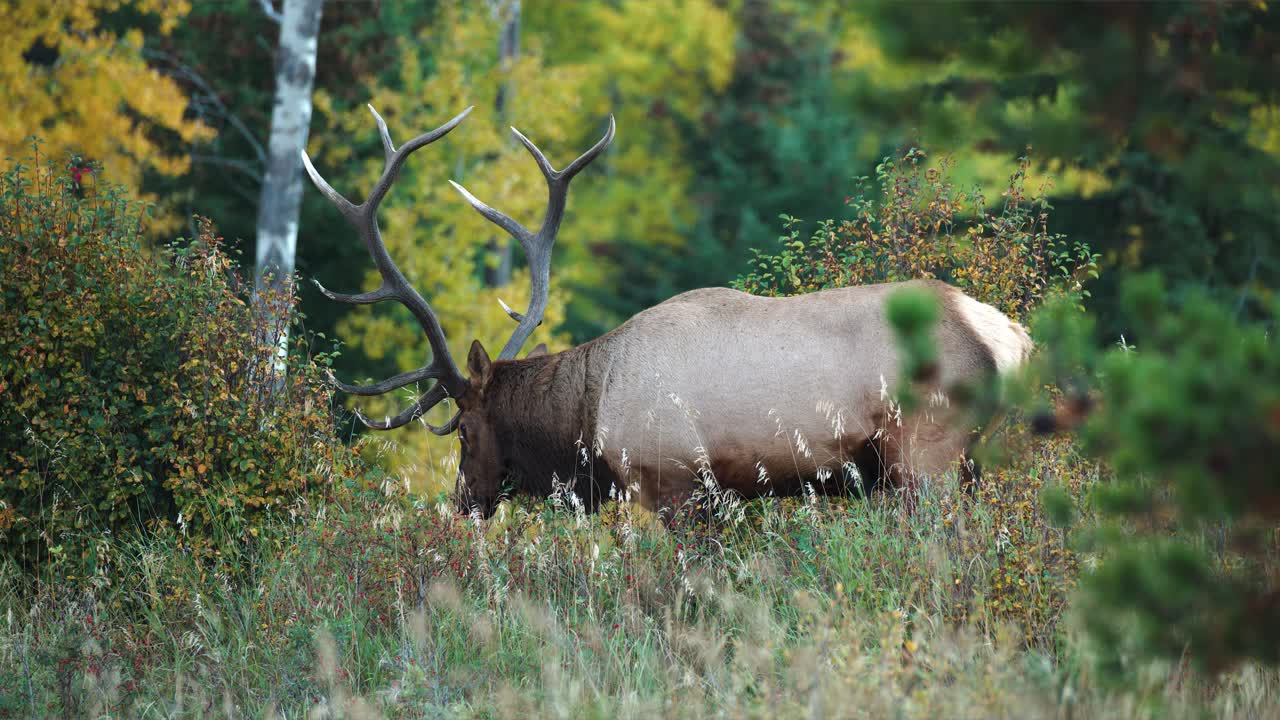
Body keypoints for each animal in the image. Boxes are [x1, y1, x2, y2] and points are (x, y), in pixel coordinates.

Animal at [301, 106, 1034, 521]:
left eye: (462, 430)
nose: (462, 503)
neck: (592, 412)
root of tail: (1006, 338)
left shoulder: (673, 481)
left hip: (927, 455)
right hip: (972, 464)